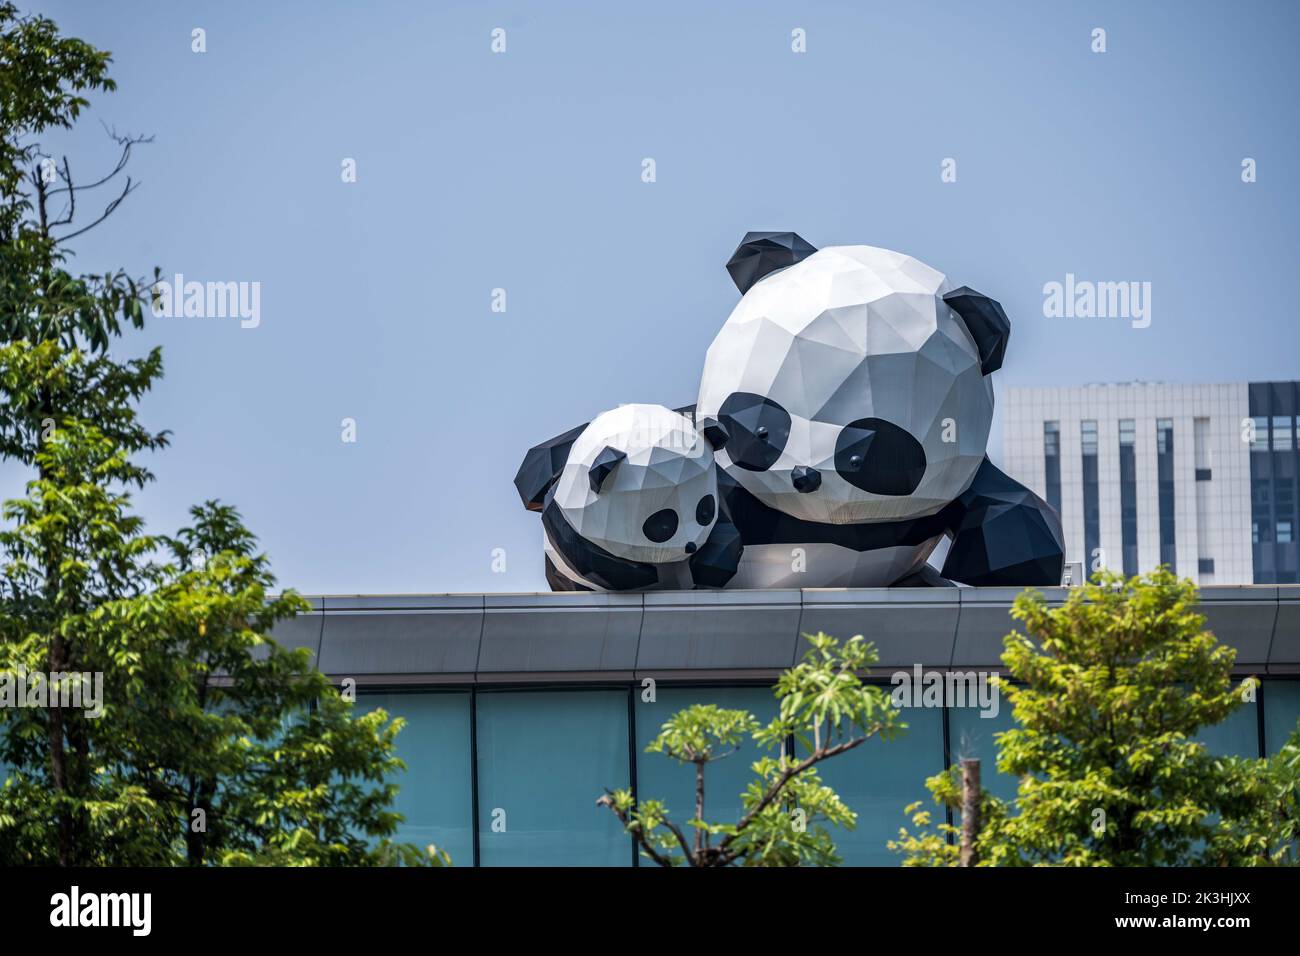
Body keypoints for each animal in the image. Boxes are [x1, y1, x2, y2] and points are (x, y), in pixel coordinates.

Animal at [513, 403, 742, 591]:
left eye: (705, 511)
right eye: (662, 525)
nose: (690, 546)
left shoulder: (718, 482)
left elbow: (728, 525)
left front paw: (711, 564)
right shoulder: (563, 513)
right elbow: (590, 560)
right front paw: (643, 573)